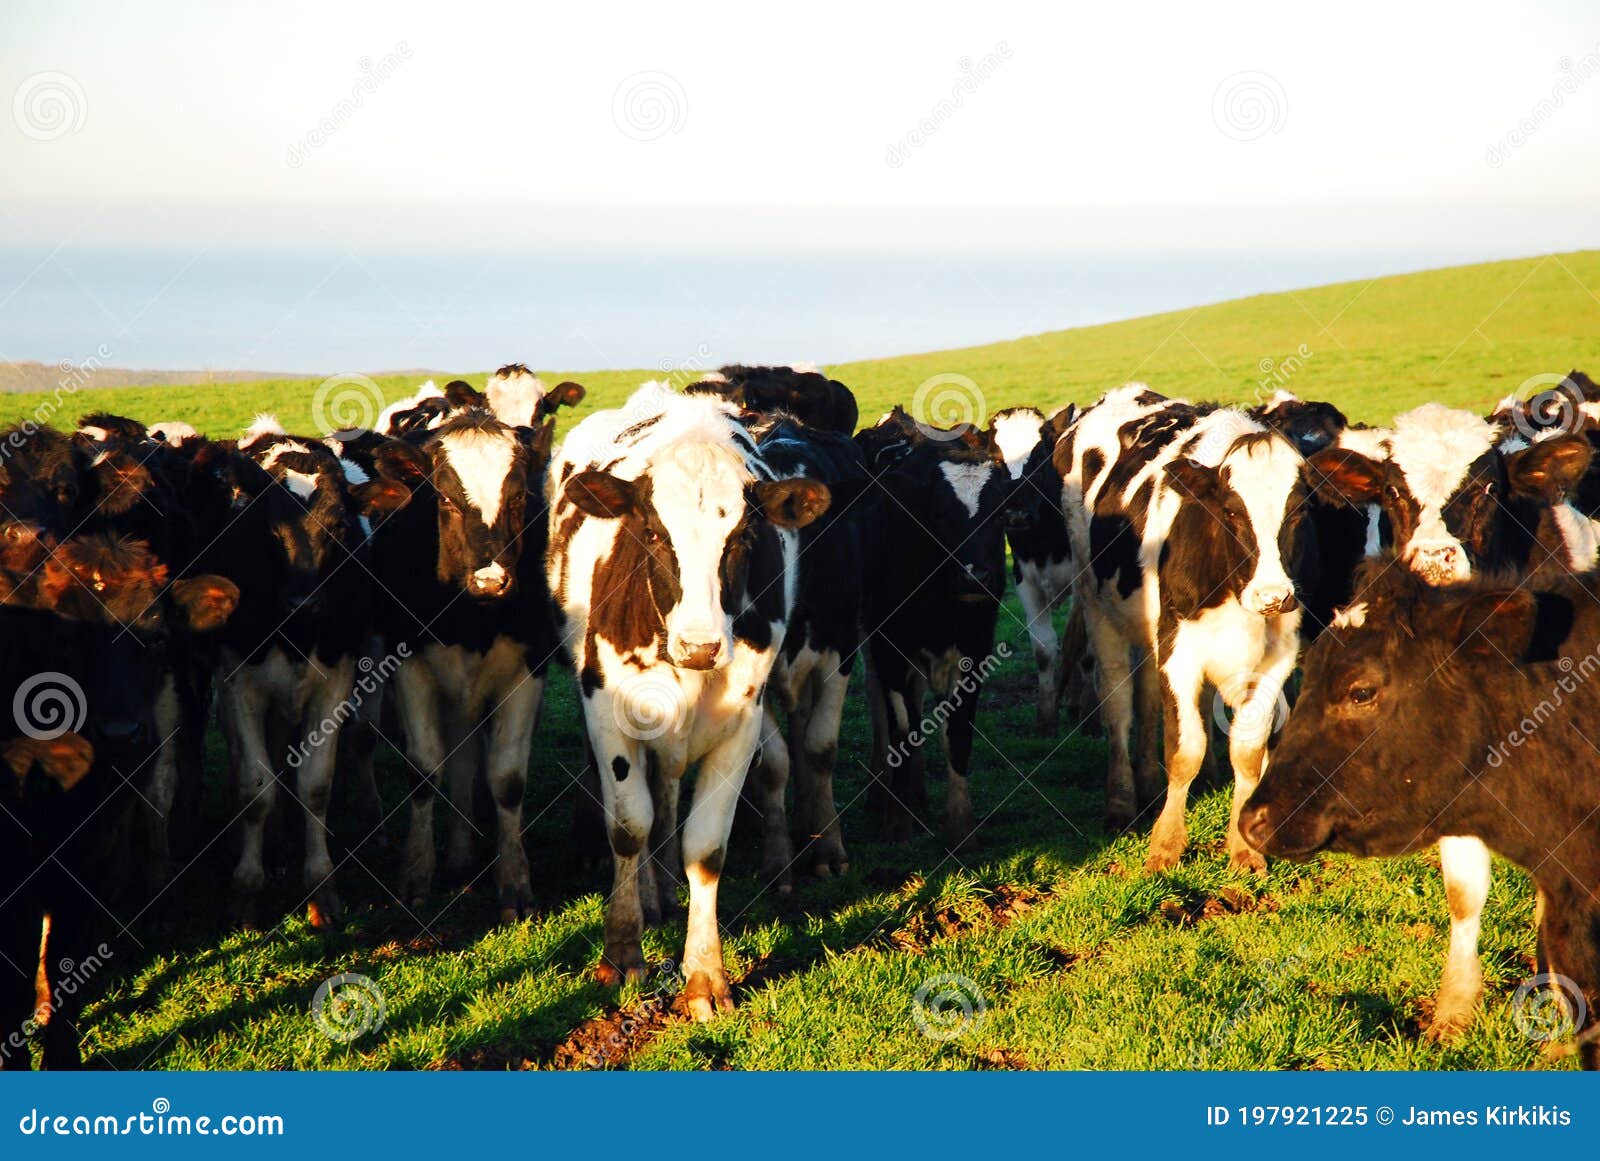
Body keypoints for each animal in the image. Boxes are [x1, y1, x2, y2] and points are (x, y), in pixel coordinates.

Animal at [547, 381, 828, 1018]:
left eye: (743, 538)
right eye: (652, 534)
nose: (700, 646)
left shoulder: (742, 721)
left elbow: (706, 845)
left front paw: (704, 977)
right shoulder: (607, 708)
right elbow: (629, 824)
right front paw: (622, 952)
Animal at [856, 410, 1009, 848]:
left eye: (1000, 513)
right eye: (941, 514)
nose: (975, 577)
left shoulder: (975, 646)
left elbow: (956, 730)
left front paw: (960, 825)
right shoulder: (887, 643)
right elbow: (901, 726)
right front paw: (896, 821)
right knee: (882, 703)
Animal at [1059, 384, 1314, 873]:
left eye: (1299, 511)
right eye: (1231, 513)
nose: (1274, 596)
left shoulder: (1277, 660)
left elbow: (1248, 751)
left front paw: (1244, 848)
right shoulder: (1178, 651)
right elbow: (1183, 747)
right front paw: (1165, 845)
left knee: (1149, 699)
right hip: (1099, 610)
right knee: (1119, 703)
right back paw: (1122, 801)